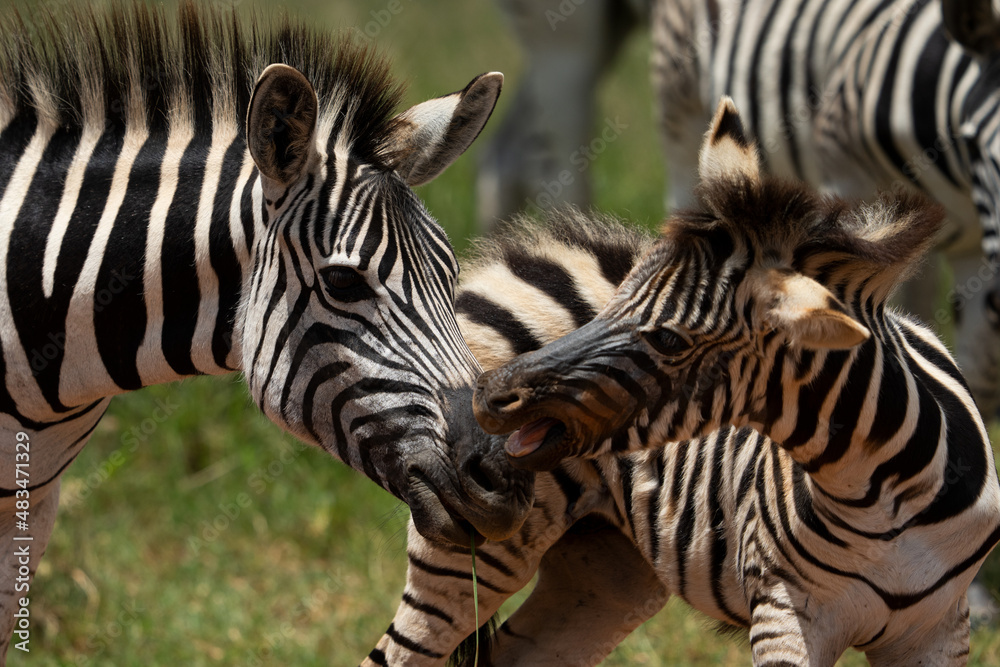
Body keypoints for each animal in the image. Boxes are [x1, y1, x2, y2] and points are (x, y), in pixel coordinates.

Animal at [367, 100, 1000, 665]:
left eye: (669, 340)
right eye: (618, 304)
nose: (489, 397)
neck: (878, 498)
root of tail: (506, 267)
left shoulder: (938, 629)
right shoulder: (787, 612)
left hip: (606, 571)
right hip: (468, 546)